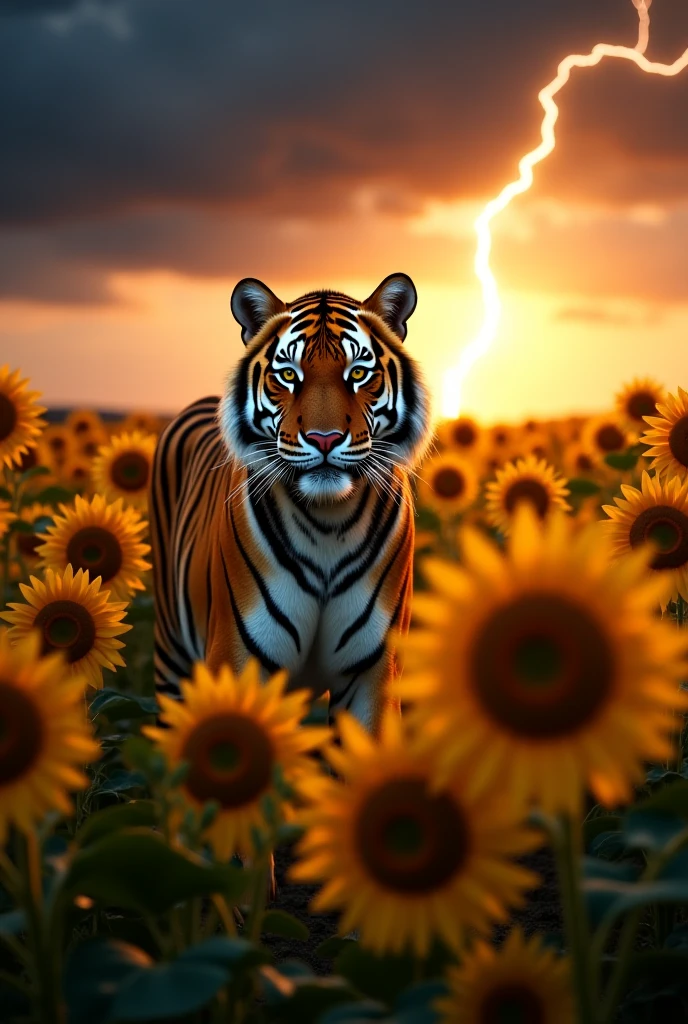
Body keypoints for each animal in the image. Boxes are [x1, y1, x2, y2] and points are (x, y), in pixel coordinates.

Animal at [149, 272, 432, 733]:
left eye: (358, 373)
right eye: (287, 375)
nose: (324, 439)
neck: (329, 522)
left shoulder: (374, 674)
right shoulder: (236, 659)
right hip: (172, 652)